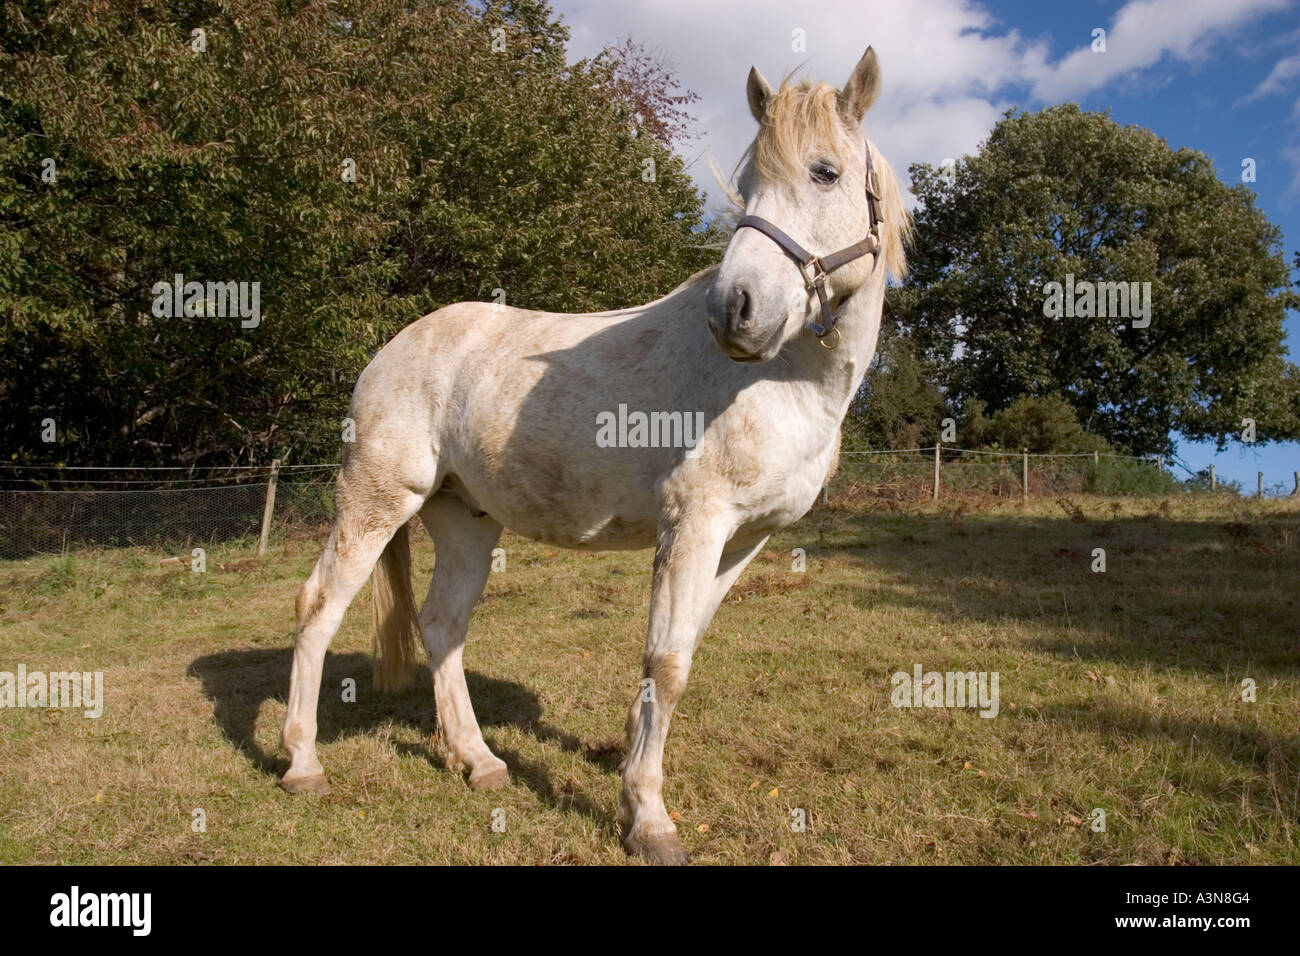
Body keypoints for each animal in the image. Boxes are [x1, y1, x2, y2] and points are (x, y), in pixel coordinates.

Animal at [280, 46, 911, 864]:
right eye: (747, 187)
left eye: (825, 172)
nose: (733, 311)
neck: (782, 380)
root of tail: (390, 350)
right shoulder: (694, 524)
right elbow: (666, 662)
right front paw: (648, 817)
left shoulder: (744, 539)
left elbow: (680, 651)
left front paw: (629, 772)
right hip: (377, 501)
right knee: (319, 607)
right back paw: (302, 765)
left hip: (465, 520)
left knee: (442, 625)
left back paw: (478, 761)